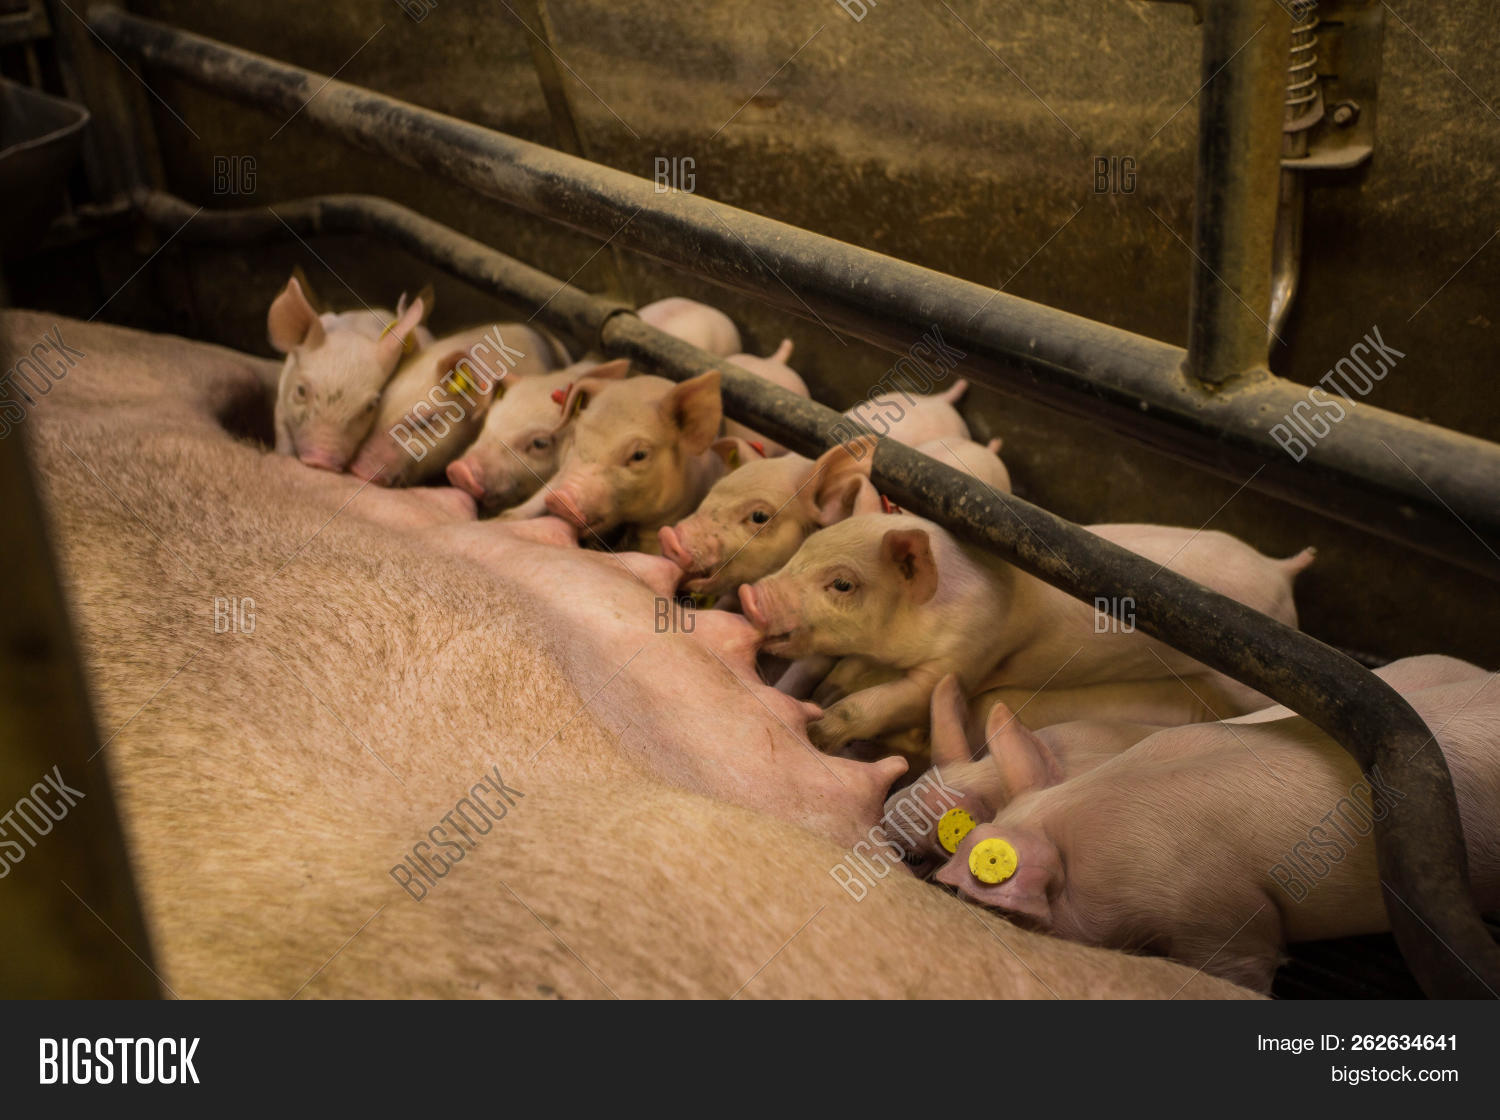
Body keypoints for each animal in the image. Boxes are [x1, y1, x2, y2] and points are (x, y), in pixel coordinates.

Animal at [267, 274, 429, 471]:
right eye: (301, 390)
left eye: (370, 406)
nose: (321, 460)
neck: (351, 332)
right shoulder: (281, 403)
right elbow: (283, 436)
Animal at [740, 513, 1313, 750]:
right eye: (801, 553)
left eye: (842, 583)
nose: (750, 595)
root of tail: (1280, 569)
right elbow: (849, 673)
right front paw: (822, 694)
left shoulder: (967, 654)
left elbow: (890, 700)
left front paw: (817, 732)